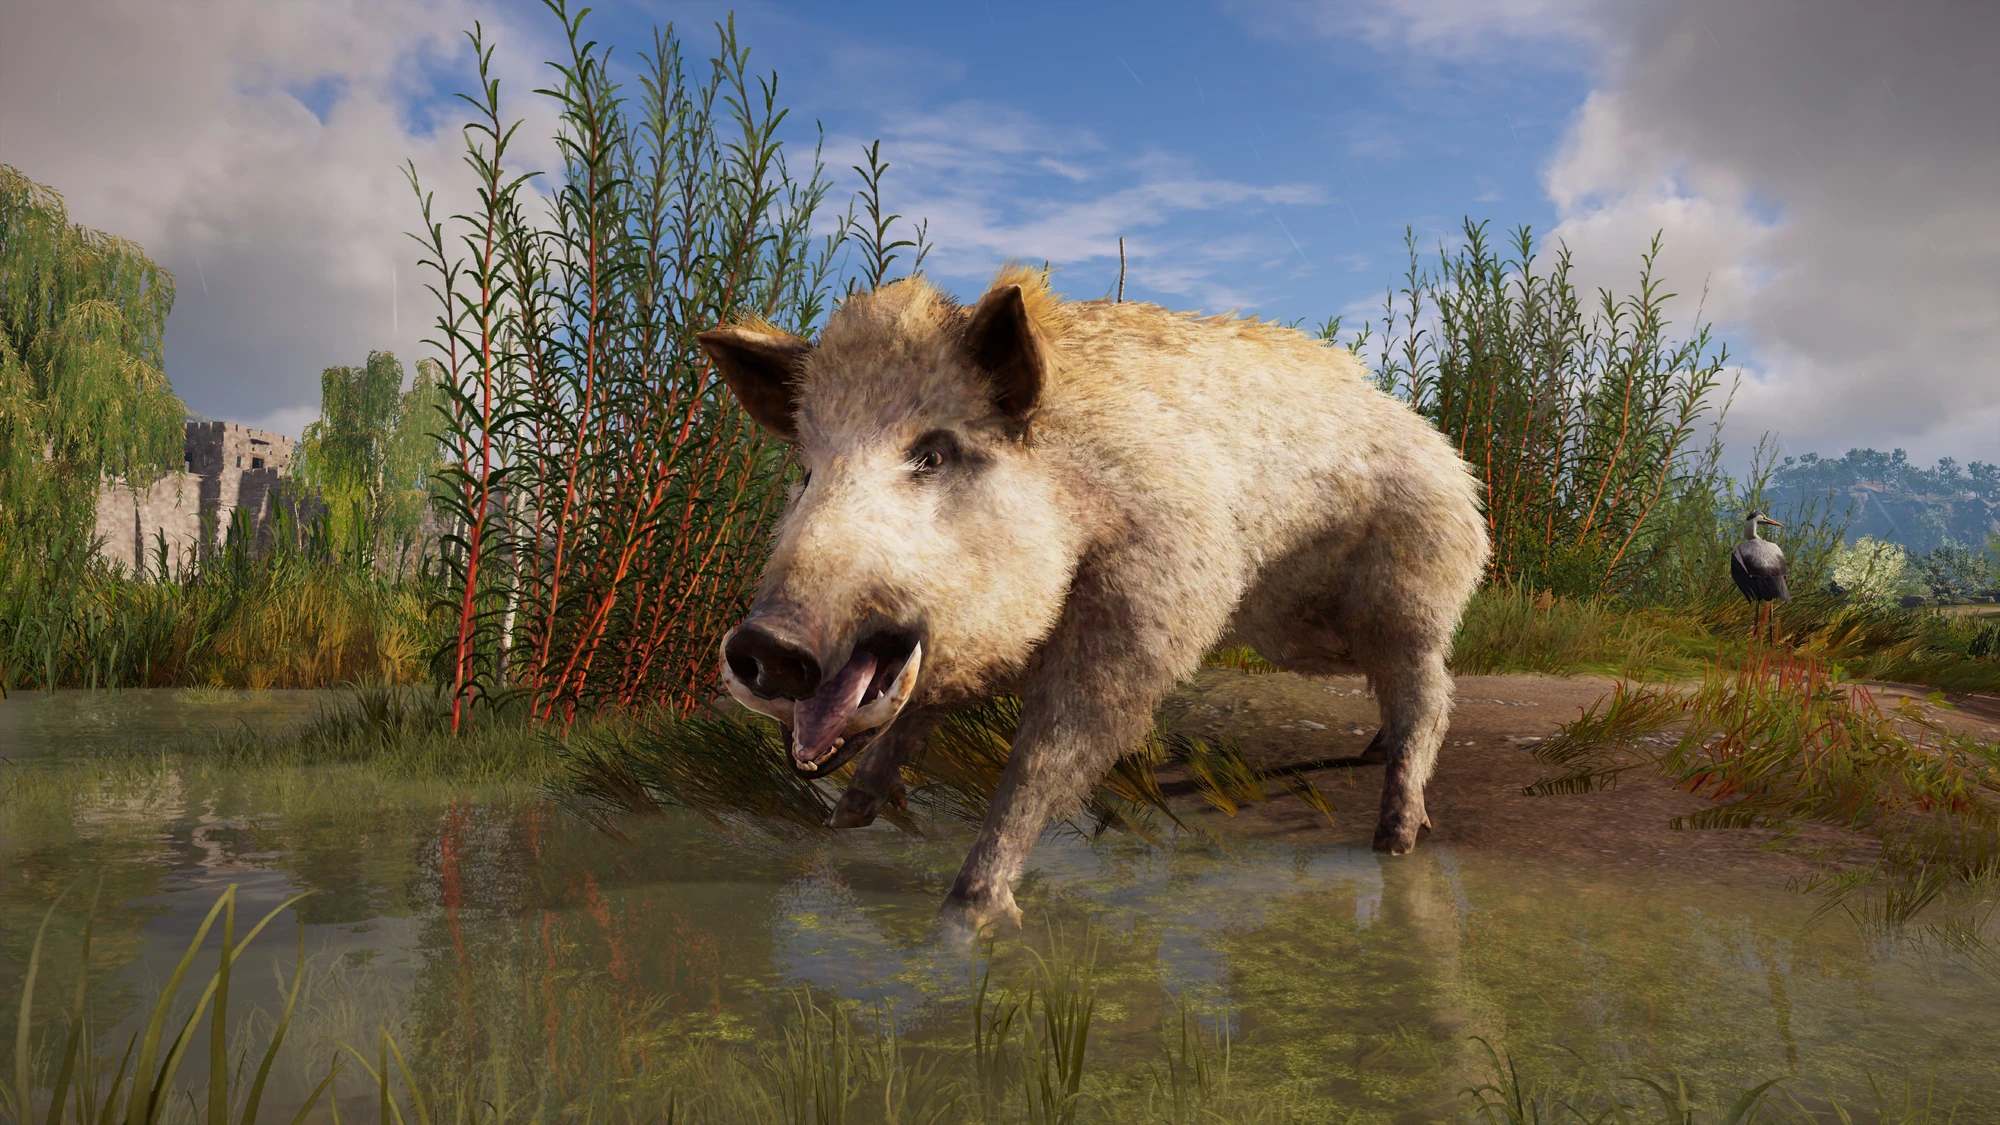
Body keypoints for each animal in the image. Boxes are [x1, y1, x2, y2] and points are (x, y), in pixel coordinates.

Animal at [697, 265, 1489, 931]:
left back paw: (1396, 839)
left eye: (933, 453)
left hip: (1411, 597)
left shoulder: (1144, 621)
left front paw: (970, 916)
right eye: (806, 470)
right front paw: (841, 825)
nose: (764, 643)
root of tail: (1451, 459)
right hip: (1305, 629)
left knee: (1430, 694)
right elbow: (914, 719)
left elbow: (1047, 760)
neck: (1078, 492)